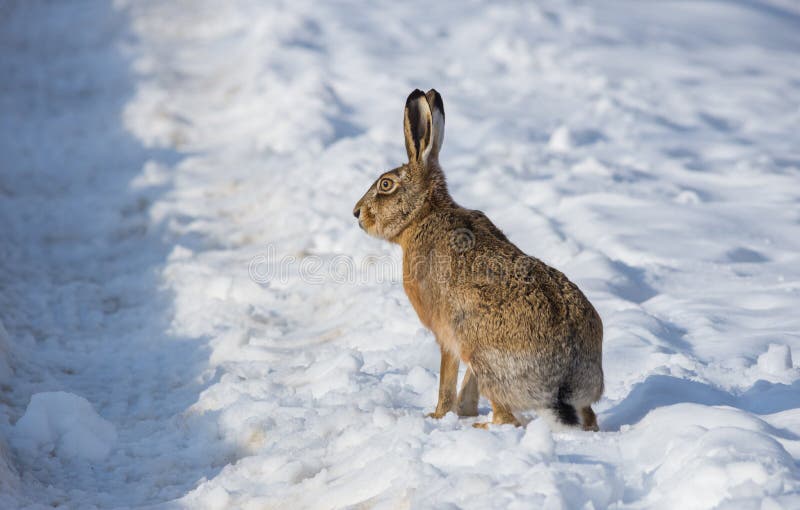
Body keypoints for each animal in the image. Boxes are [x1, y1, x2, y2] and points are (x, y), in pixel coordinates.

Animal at [353, 89, 603, 430]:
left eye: (386, 184)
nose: (357, 214)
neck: (424, 214)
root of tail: (562, 385)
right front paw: (463, 410)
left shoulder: (446, 334)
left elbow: (447, 377)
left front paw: (439, 415)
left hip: (484, 355)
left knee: (507, 418)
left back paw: (481, 426)